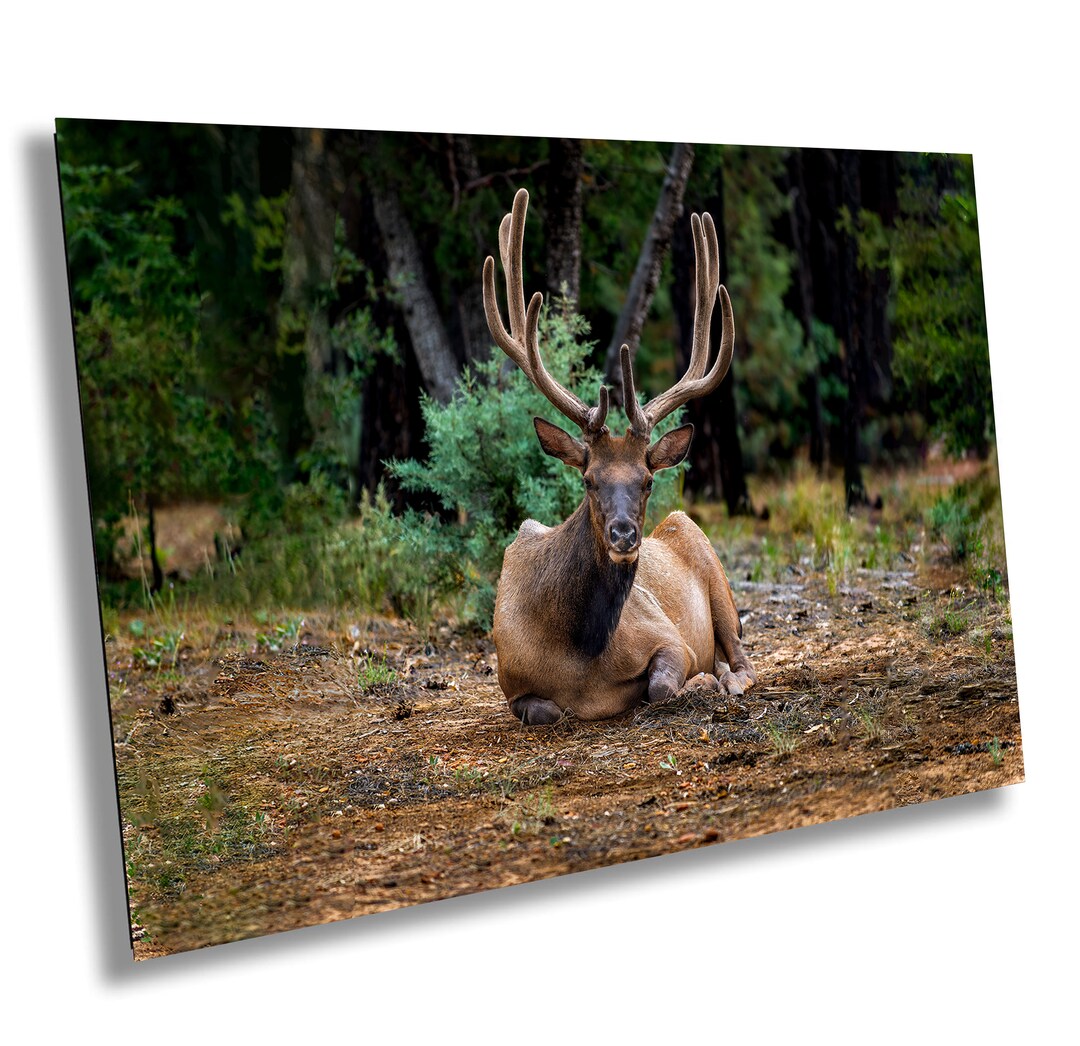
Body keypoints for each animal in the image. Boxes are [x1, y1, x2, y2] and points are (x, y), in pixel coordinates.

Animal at [483, 188, 756, 725]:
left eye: (647, 481)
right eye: (588, 479)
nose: (625, 535)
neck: (578, 660)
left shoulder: (669, 637)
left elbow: (663, 684)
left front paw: (699, 683)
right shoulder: (511, 683)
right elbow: (547, 711)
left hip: (708, 560)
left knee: (743, 657)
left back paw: (726, 677)